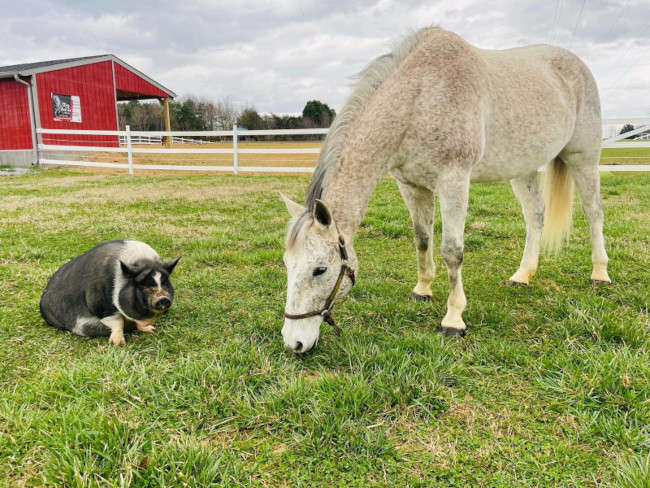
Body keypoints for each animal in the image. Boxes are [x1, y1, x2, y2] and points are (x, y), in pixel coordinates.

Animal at [280, 27, 610, 354]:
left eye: (320, 270)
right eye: (287, 264)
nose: (294, 341)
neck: (419, 98)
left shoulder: (454, 182)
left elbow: (452, 251)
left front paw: (453, 319)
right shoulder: (411, 186)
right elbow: (422, 240)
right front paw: (423, 289)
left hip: (583, 158)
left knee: (593, 212)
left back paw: (600, 273)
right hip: (523, 170)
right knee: (536, 216)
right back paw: (523, 275)